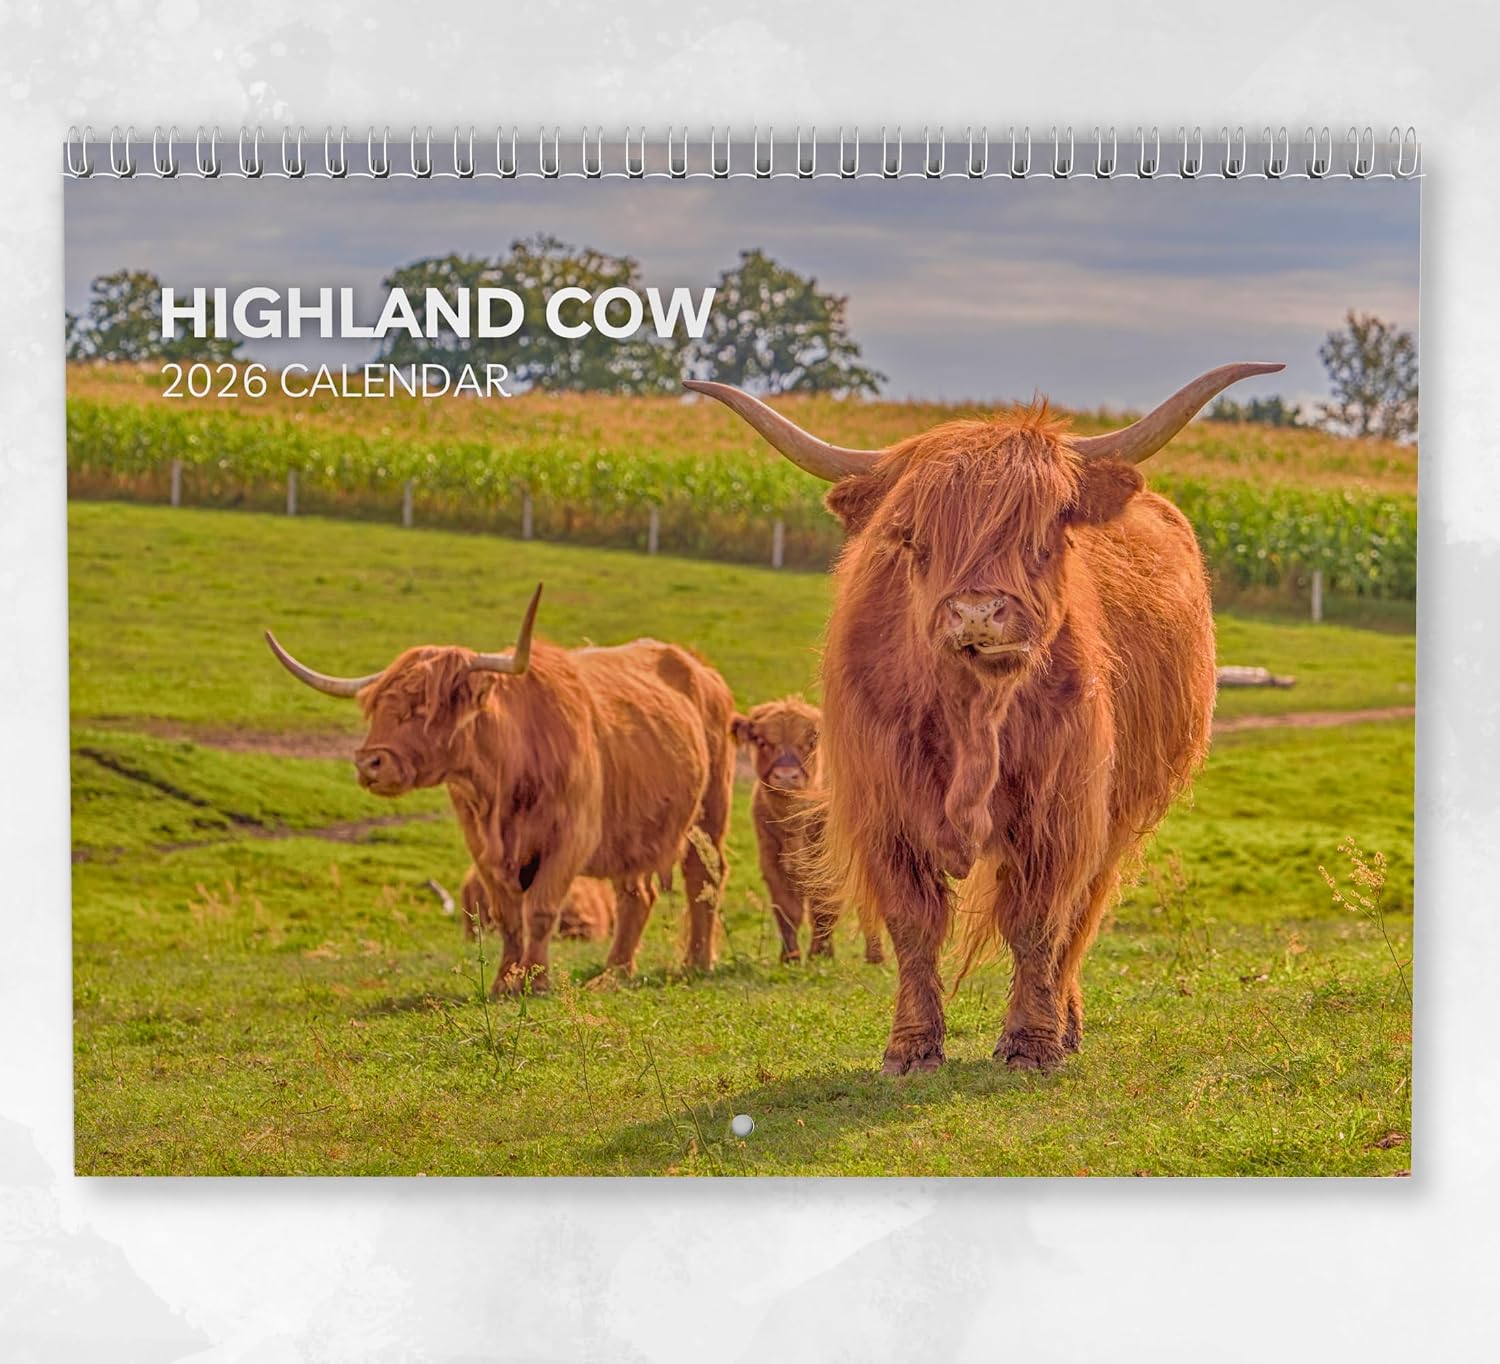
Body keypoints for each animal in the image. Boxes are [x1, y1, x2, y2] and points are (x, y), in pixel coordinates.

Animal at [732, 696, 884, 965]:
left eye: (812, 742)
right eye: (761, 741)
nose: (786, 776)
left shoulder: (830, 863)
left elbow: (824, 905)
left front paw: (821, 954)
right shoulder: (772, 861)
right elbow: (787, 909)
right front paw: (790, 957)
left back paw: (875, 957)